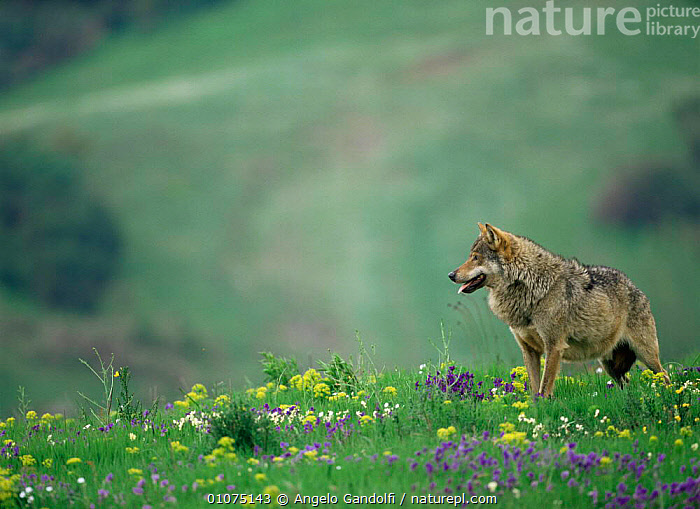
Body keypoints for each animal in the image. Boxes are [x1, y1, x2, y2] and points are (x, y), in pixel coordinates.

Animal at [448, 223, 670, 397]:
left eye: (475, 258)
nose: (451, 274)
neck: (530, 286)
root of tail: (636, 288)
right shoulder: (529, 350)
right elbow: (534, 390)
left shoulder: (553, 347)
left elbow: (545, 388)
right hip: (610, 365)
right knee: (627, 384)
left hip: (646, 356)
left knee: (665, 375)